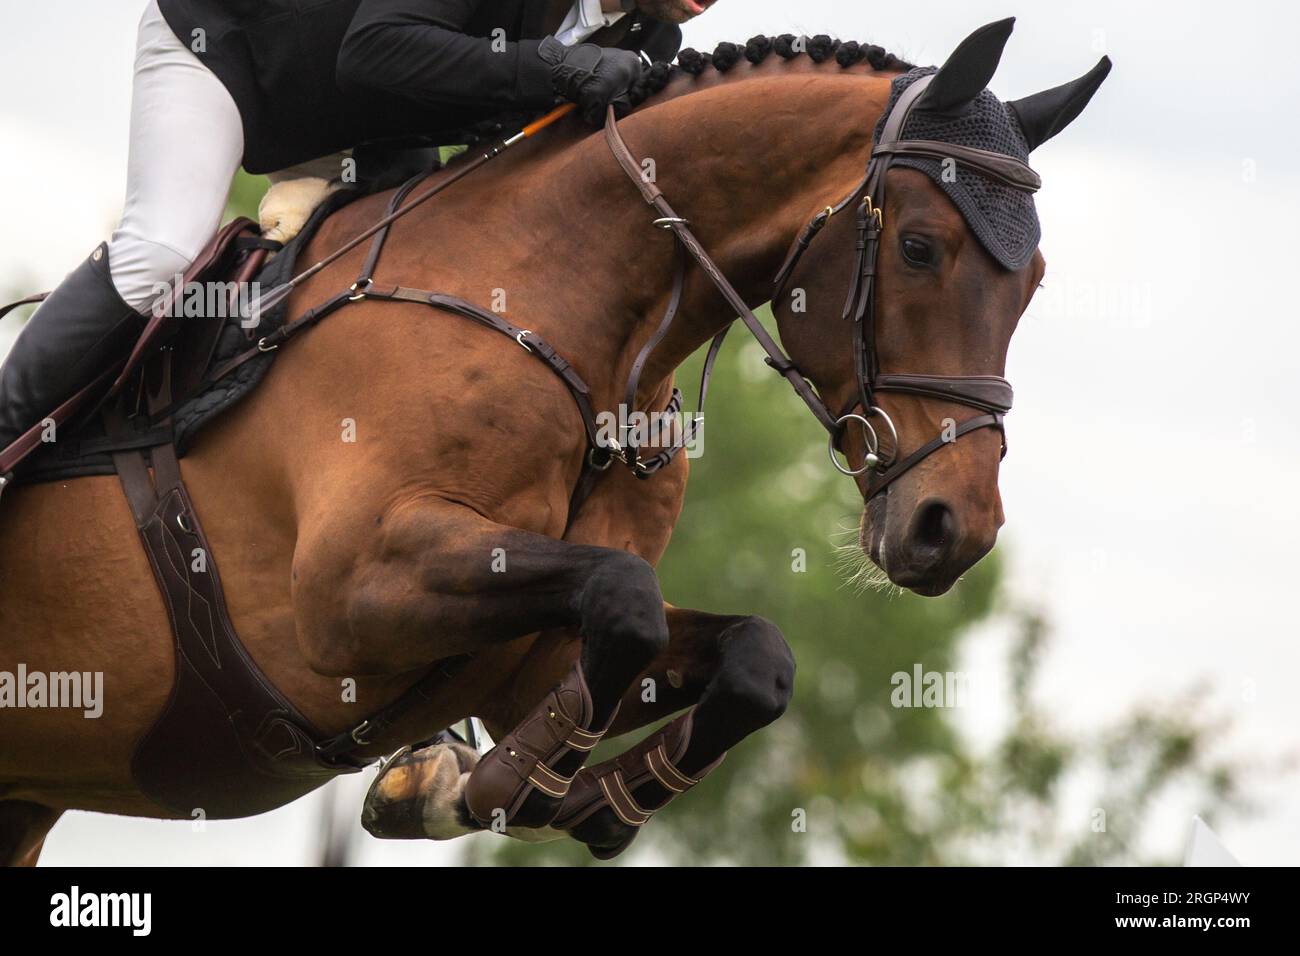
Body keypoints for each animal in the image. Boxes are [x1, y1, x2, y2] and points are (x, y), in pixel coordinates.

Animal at [0, 20, 1108, 863]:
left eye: (1034, 282)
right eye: (919, 247)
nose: (950, 528)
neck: (572, 316)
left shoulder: (522, 661)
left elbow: (750, 654)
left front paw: (552, 798)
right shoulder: (348, 596)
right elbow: (623, 597)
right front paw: (471, 787)